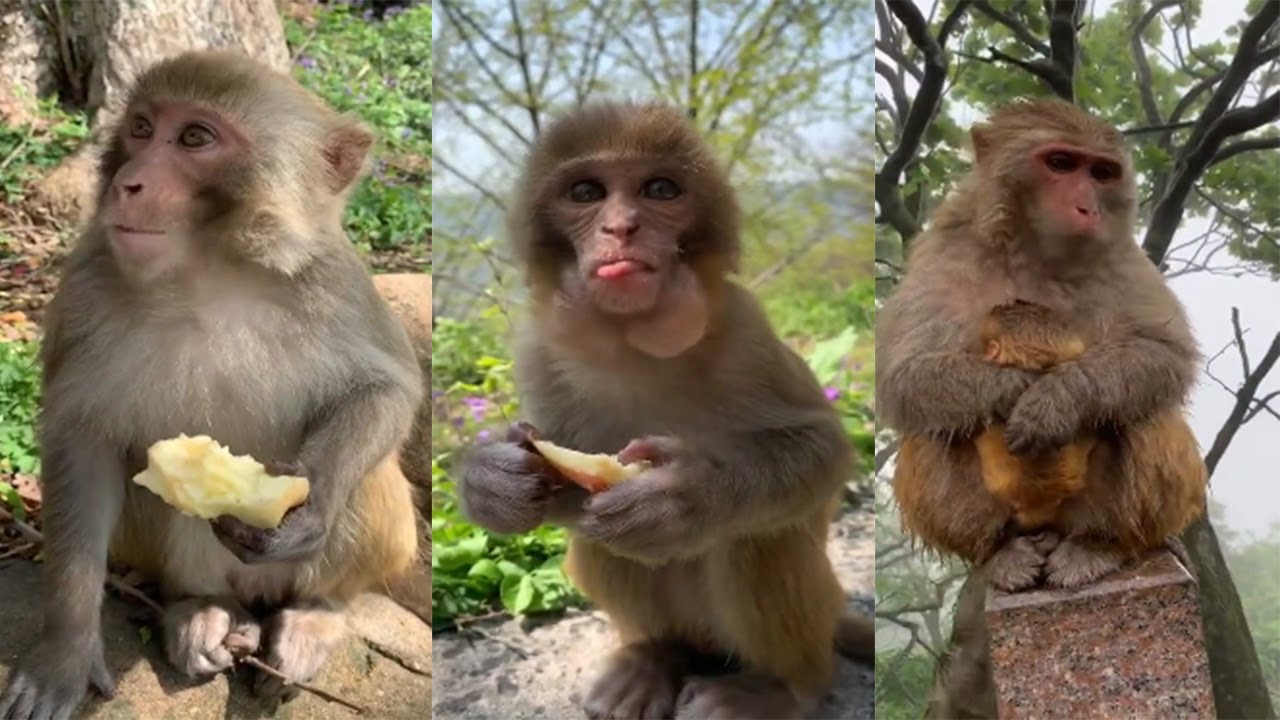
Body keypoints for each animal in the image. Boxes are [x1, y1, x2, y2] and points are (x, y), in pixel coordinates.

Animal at [0, 51, 424, 719]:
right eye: (142, 128)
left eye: (195, 138)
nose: (128, 183)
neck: (210, 272)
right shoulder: (88, 279)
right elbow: (81, 442)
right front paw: (63, 653)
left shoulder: (333, 279)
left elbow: (385, 390)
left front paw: (310, 512)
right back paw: (199, 609)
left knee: (370, 477)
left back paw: (317, 613)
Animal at [455, 101, 875, 720]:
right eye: (586, 192)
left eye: (659, 189)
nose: (622, 227)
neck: (633, 347)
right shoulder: (537, 349)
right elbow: (562, 478)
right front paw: (492, 481)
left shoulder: (746, 330)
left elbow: (821, 449)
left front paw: (685, 496)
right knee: (598, 536)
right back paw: (654, 657)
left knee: (760, 537)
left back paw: (780, 689)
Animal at [876, 97, 1207, 594]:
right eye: (1060, 163)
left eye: (1102, 173)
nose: (1087, 207)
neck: (1036, 252)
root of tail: (1047, 527)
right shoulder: (945, 250)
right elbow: (905, 373)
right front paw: (1011, 389)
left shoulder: (1123, 257)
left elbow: (1162, 352)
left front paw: (1056, 400)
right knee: (933, 427)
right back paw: (999, 552)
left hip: (1083, 513)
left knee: (1143, 408)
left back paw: (1100, 544)